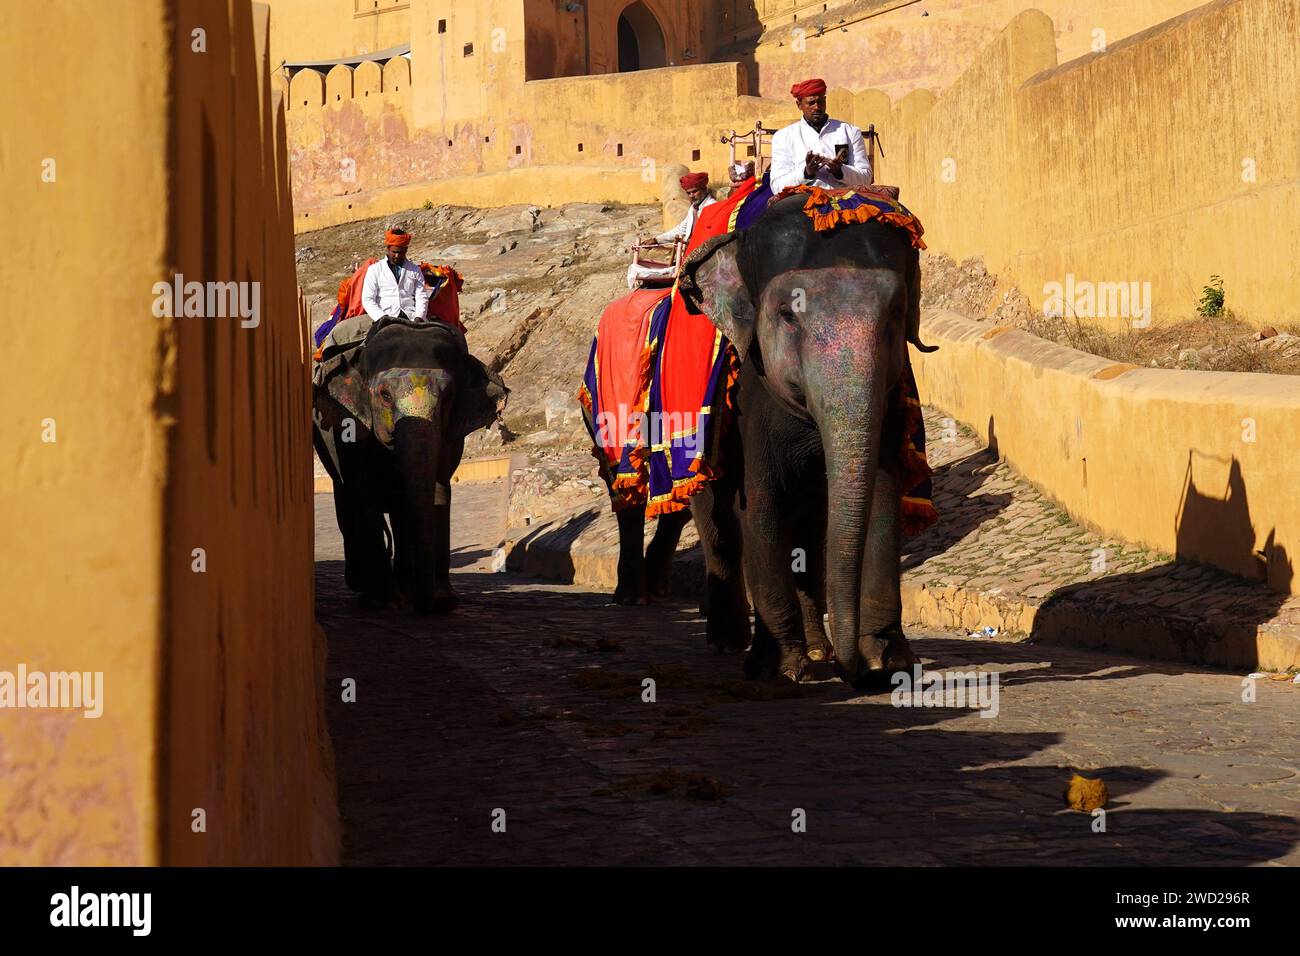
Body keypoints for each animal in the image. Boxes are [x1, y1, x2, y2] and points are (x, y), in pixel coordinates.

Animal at [312, 316, 507, 613]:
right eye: (385, 396)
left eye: (448, 396)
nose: (425, 607)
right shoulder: (352, 432)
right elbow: (364, 493)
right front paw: (385, 603)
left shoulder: (450, 437)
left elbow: (438, 491)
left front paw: (442, 601)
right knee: (347, 503)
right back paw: (362, 586)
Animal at [676, 193, 936, 688]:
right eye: (786, 315)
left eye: (896, 314)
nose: (853, 672)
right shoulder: (752, 398)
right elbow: (762, 505)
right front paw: (781, 672)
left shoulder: (891, 396)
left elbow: (883, 498)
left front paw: (888, 663)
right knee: (718, 522)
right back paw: (729, 642)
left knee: (811, 536)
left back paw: (819, 649)